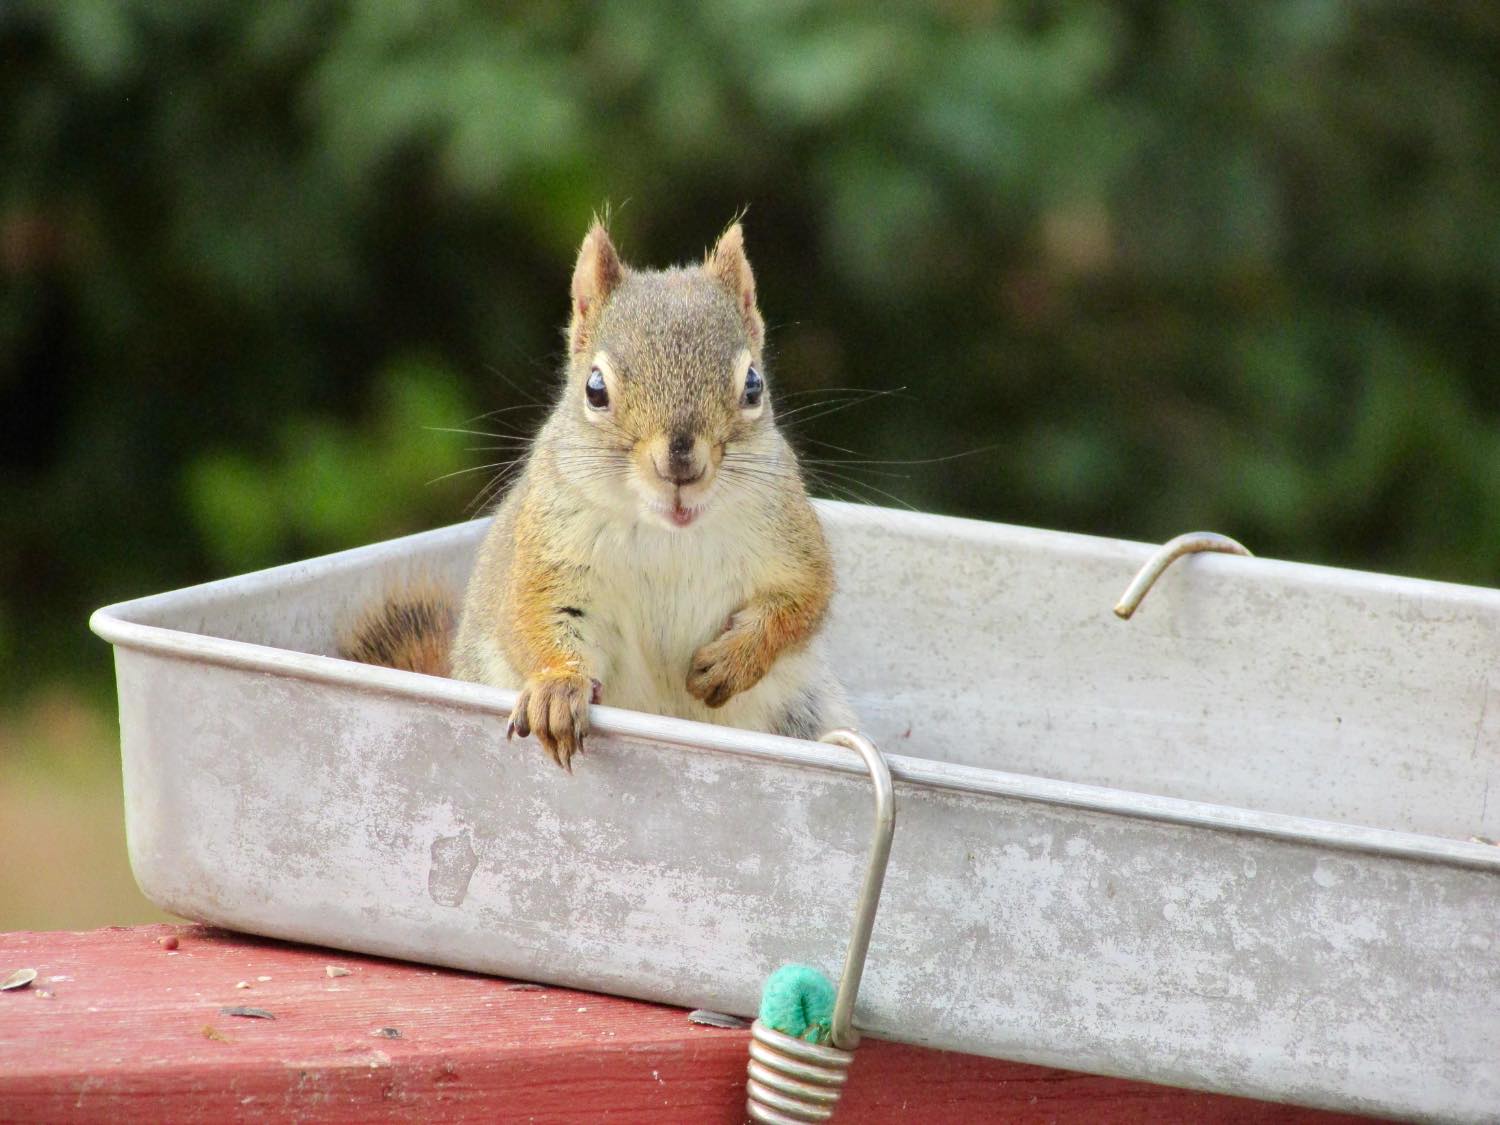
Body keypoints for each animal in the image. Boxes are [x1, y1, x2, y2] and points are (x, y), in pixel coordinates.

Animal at [343, 219, 853, 770]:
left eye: (754, 385)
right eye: (595, 389)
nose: (680, 464)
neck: (667, 534)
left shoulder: (787, 538)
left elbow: (802, 602)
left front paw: (733, 660)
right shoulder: (549, 554)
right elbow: (536, 619)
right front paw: (557, 690)